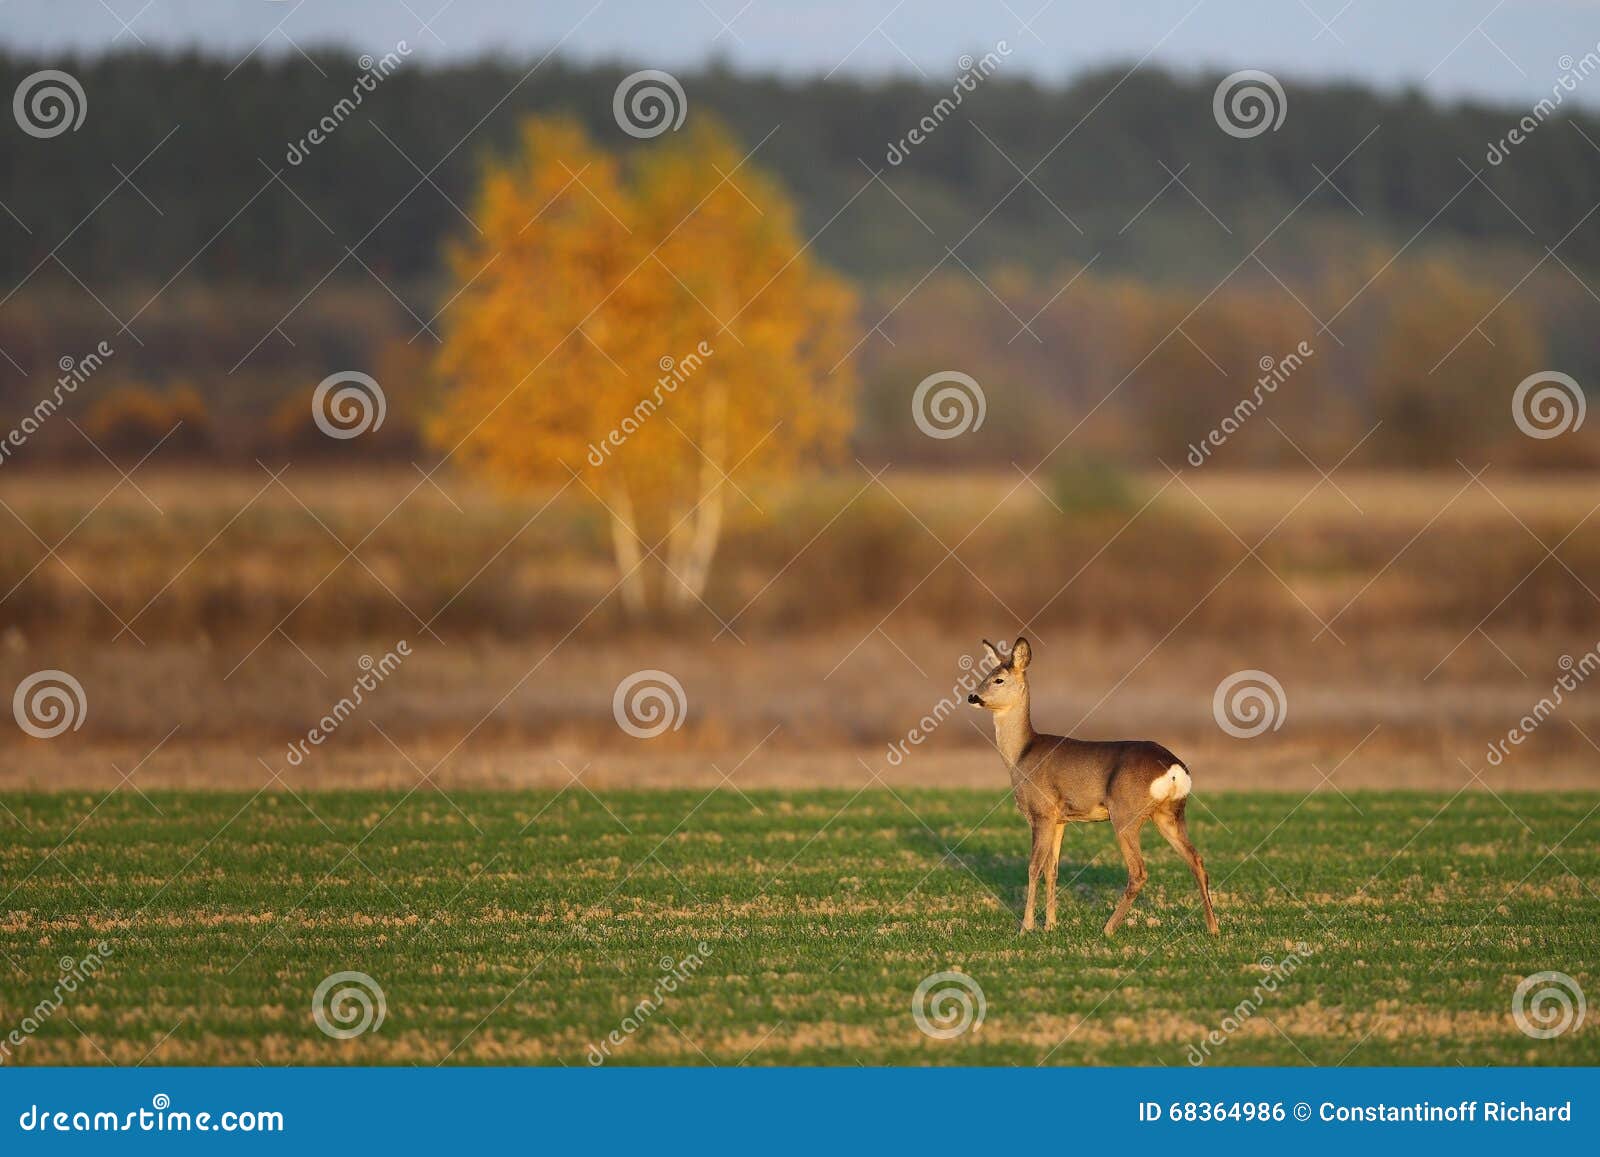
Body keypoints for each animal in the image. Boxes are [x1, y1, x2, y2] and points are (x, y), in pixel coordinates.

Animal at [967, 637, 1220, 937]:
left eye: (999, 679)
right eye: (985, 675)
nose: (972, 697)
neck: (1021, 754)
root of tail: (1174, 768)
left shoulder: (1041, 812)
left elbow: (1033, 867)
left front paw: (1026, 927)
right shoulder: (1060, 819)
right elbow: (1052, 869)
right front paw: (1051, 925)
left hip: (1126, 814)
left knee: (1139, 871)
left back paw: (1108, 928)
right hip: (1169, 814)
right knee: (1197, 861)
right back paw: (1213, 928)